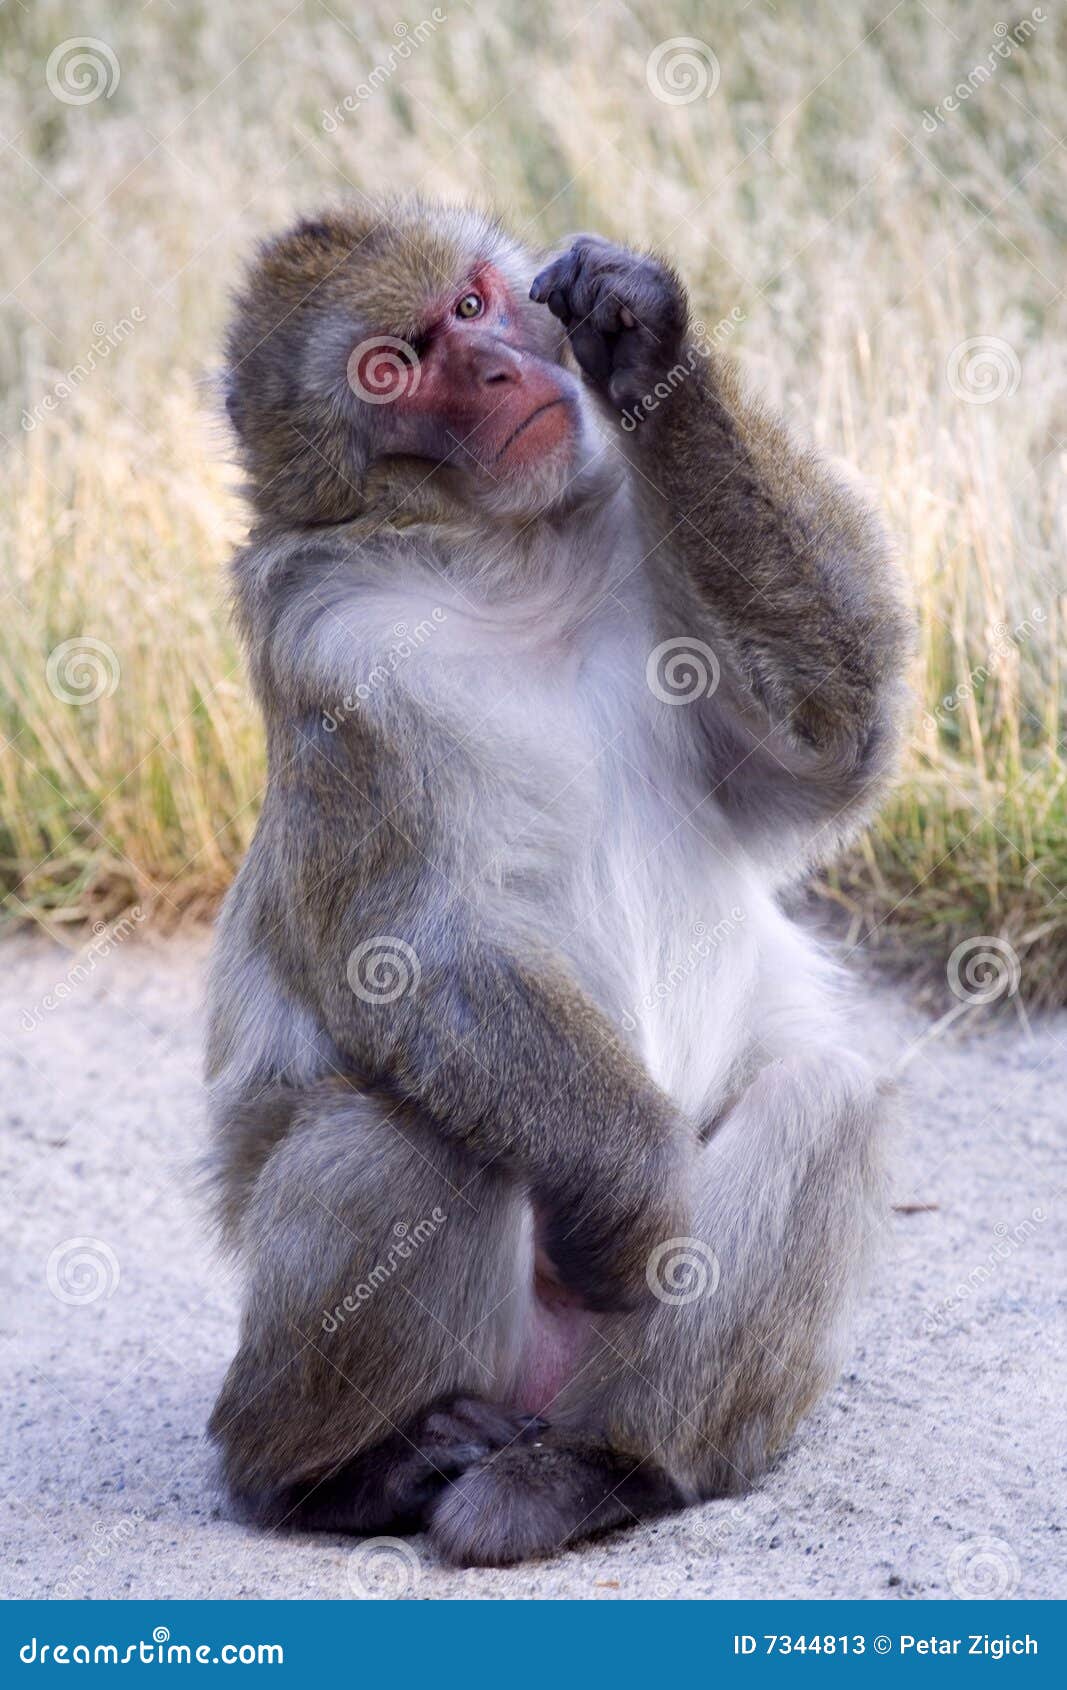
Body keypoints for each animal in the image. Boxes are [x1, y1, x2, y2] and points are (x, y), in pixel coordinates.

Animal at [204, 196, 913, 1567]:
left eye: (476, 305)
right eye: (392, 369)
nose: (494, 368)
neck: (508, 558)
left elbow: (826, 744)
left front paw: (640, 344)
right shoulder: (335, 653)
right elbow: (411, 945)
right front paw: (632, 1190)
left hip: (597, 1375)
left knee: (821, 1100)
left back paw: (596, 1470)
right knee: (408, 1139)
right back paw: (334, 1476)